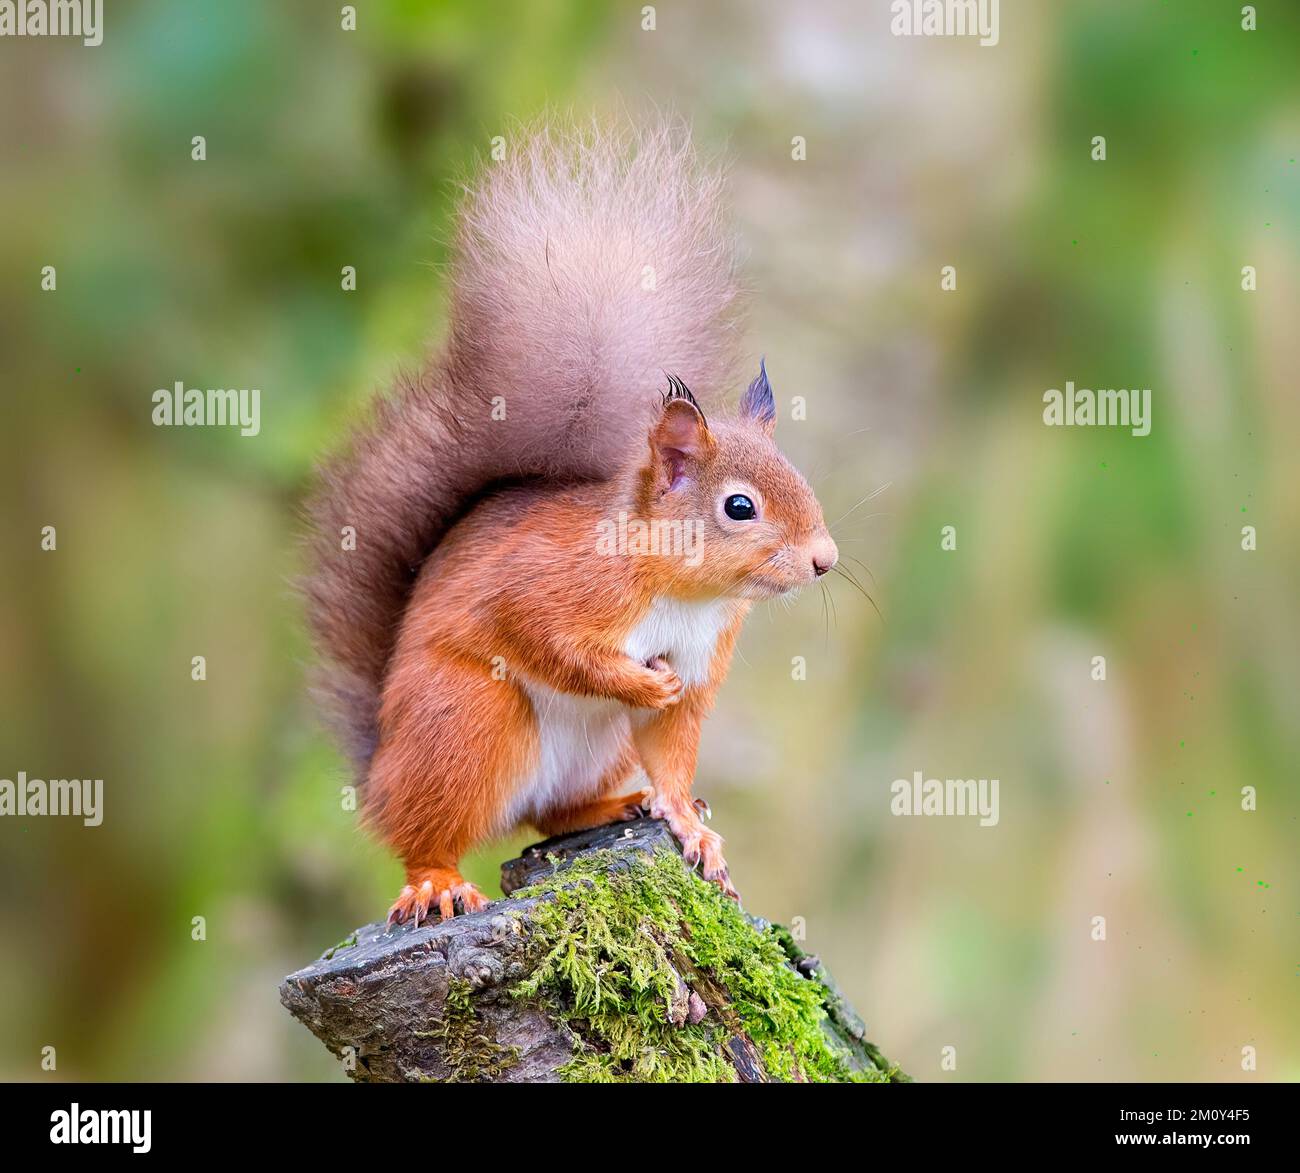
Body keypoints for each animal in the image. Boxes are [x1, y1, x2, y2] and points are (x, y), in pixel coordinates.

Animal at [302, 119, 832, 925]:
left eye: (804, 483)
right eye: (740, 506)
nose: (825, 558)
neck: (685, 590)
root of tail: (379, 774)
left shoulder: (703, 662)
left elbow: (675, 751)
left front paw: (689, 824)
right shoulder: (552, 585)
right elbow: (545, 639)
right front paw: (639, 683)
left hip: (594, 750)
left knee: (550, 814)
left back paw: (622, 804)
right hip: (468, 721)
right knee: (430, 835)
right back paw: (436, 879)